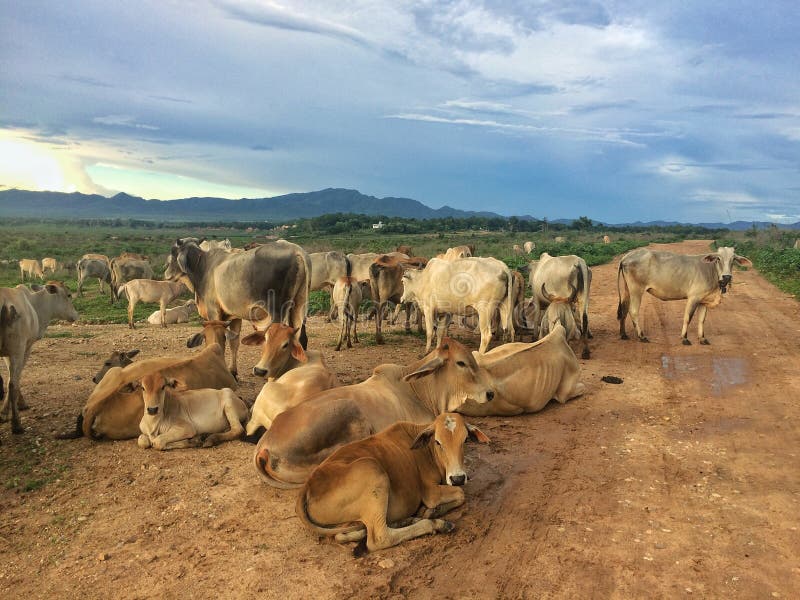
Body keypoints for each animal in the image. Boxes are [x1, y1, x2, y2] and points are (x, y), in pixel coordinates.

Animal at [1, 282, 79, 434]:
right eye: (68, 295)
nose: (76, 315)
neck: (34, 304)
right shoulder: (24, 347)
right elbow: (15, 379)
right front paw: (20, 405)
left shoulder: (7, 352)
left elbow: (9, 377)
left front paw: (3, 412)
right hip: (17, 347)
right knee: (12, 384)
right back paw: (16, 425)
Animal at [164, 238, 311, 379]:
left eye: (173, 251)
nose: (165, 272)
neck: (202, 267)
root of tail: (295, 249)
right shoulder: (234, 316)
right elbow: (234, 342)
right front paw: (233, 372)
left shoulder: (213, 312)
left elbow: (217, 341)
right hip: (298, 305)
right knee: (300, 338)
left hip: (278, 311)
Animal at [296, 412, 489, 556]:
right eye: (438, 441)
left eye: (465, 440)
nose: (458, 478)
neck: (427, 452)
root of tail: (308, 486)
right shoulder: (430, 492)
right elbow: (461, 494)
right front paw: (433, 511)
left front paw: (430, 511)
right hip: (372, 471)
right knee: (379, 537)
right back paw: (437, 524)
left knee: (345, 534)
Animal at [617, 246, 752, 345]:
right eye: (718, 259)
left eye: (733, 259)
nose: (727, 277)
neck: (711, 271)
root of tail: (627, 255)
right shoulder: (693, 298)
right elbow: (688, 317)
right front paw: (684, 338)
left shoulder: (703, 300)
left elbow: (701, 320)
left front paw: (702, 339)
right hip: (636, 290)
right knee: (633, 311)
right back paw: (641, 336)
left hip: (627, 290)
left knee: (624, 309)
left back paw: (623, 334)